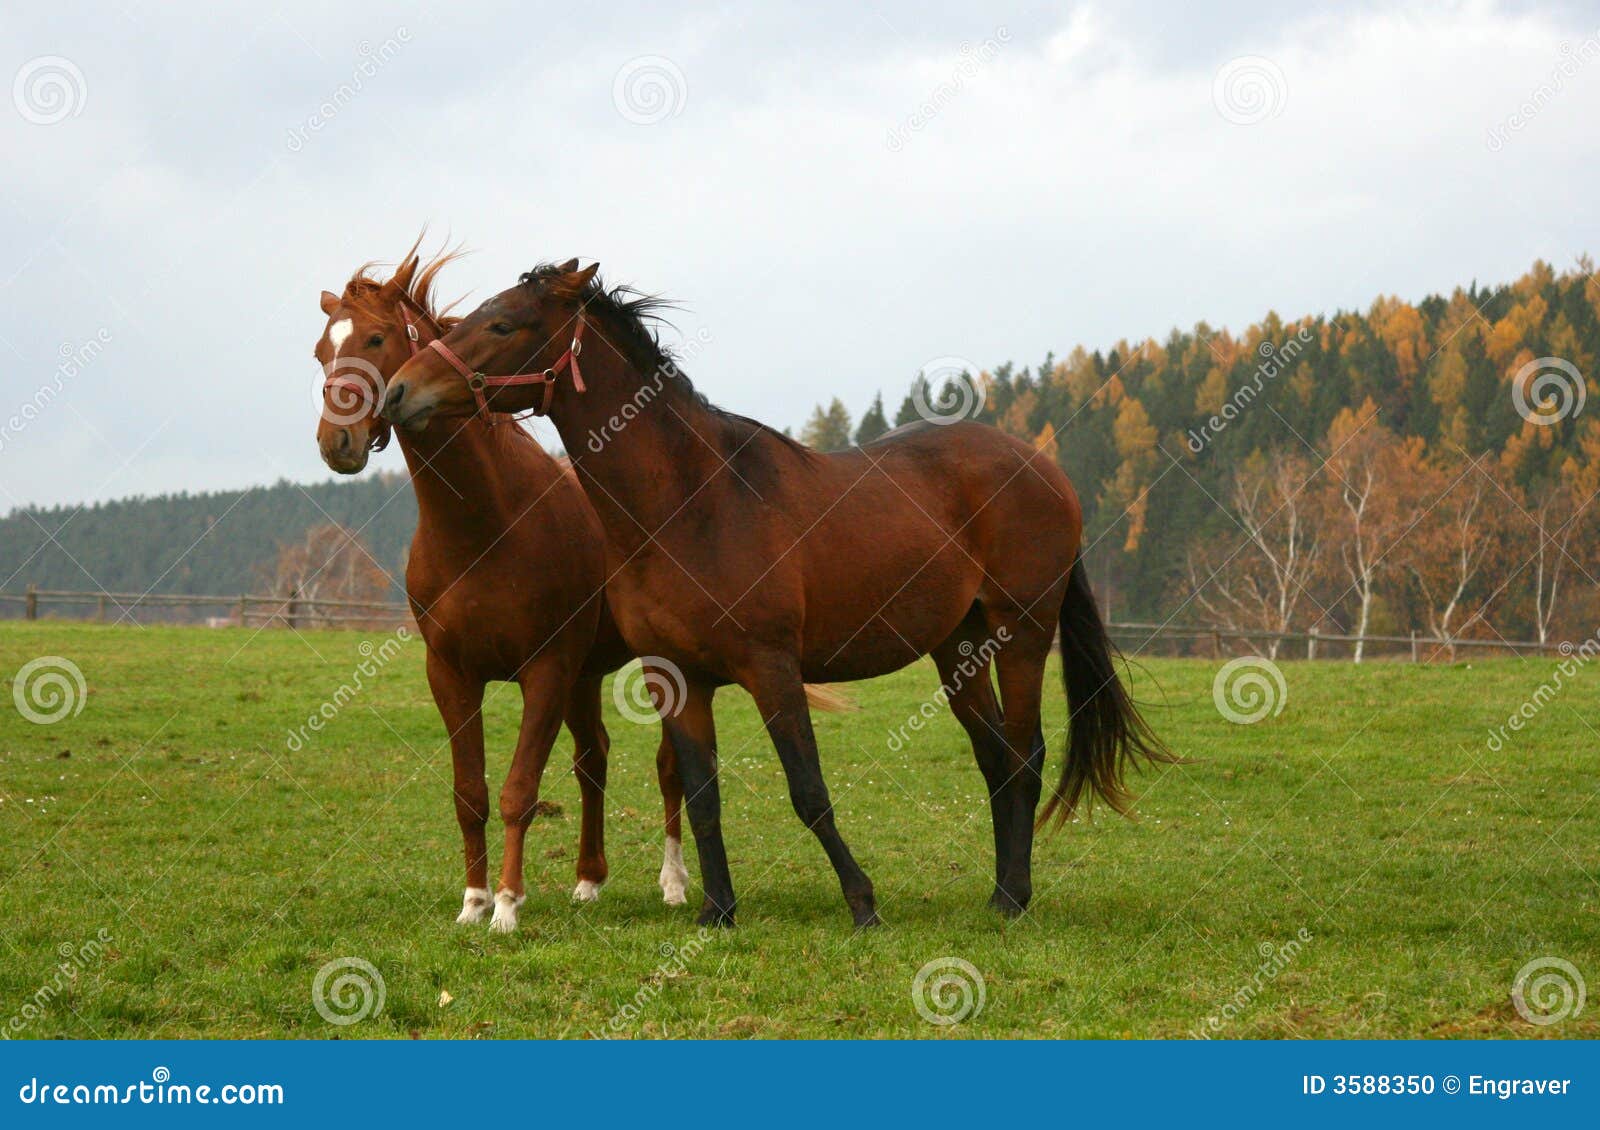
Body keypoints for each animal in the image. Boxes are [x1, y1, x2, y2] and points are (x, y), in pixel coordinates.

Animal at [380, 261, 1172, 928]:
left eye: (504, 324)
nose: (397, 393)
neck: (690, 503)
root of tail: (1044, 468)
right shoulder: (678, 678)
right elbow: (701, 795)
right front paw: (716, 910)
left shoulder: (772, 669)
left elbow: (808, 791)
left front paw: (862, 903)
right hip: (960, 649)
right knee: (996, 759)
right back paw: (1002, 891)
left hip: (1023, 633)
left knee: (1027, 755)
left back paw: (1013, 900)